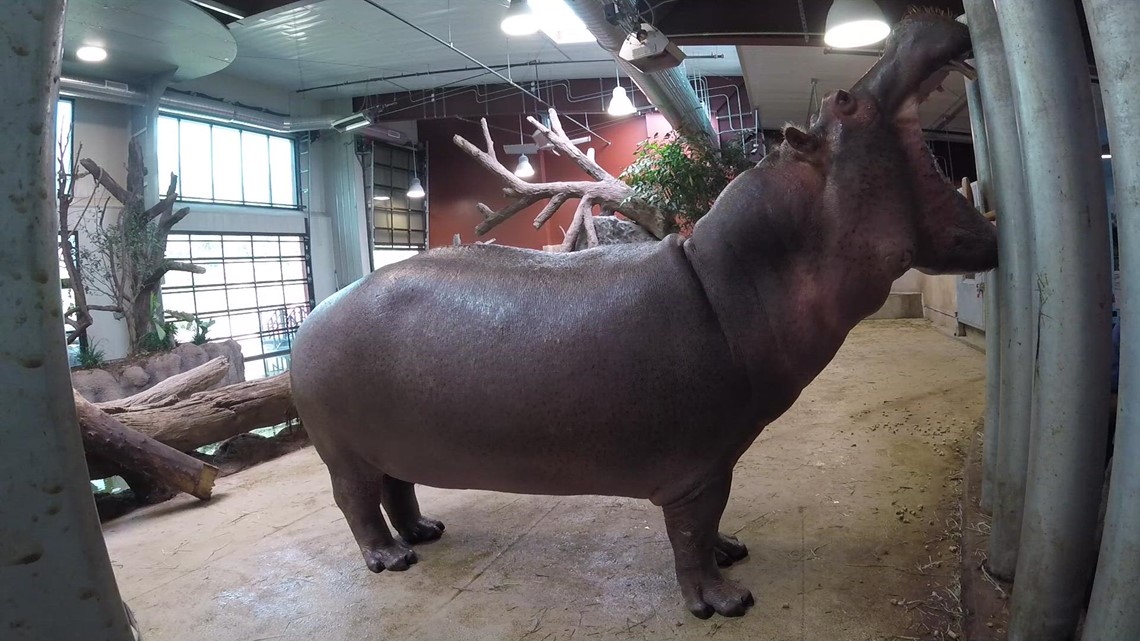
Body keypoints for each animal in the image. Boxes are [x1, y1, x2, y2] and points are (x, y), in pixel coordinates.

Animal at [290, 12, 995, 620]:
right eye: (846, 101)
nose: (914, 24)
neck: (729, 273)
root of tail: (315, 316)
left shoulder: (718, 458)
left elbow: (711, 527)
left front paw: (732, 553)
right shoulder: (698, 469)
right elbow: (691, 531)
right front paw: (725, 602)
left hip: (386, 441)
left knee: (396, 487)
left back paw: (425, 532)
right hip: (344, 452)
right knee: (357, 502)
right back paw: (392, 559)